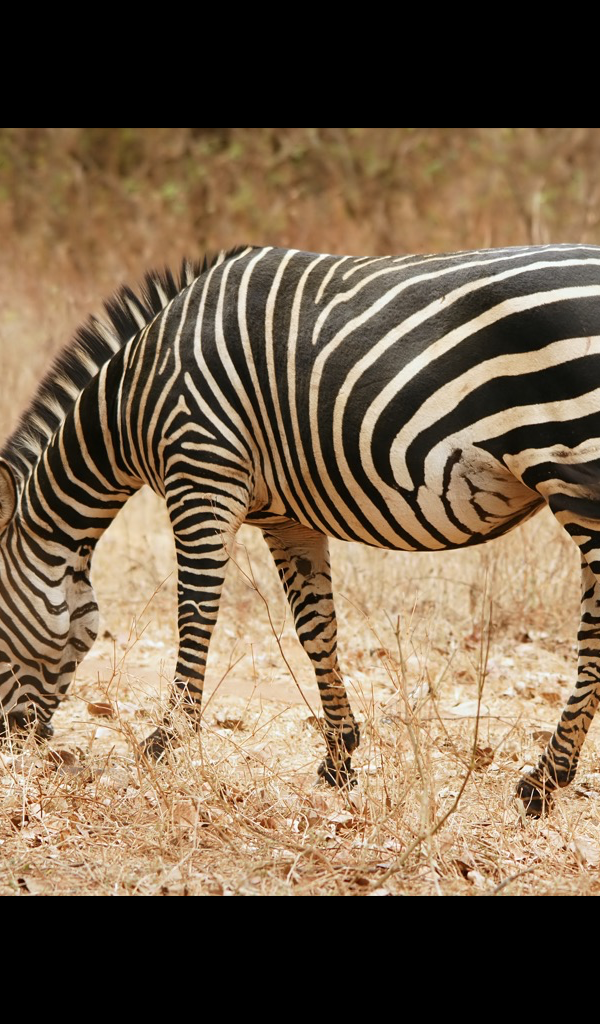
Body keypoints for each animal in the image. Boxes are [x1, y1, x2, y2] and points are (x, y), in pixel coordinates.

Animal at [2, 242, 600, 816]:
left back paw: (543, 782)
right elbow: (317, 628)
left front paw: (166, 743)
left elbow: (195, 613)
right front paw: (339, 756)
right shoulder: (286, 516)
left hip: (576, 474)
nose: (14, 741)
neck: (132, 395)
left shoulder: (201, 473)